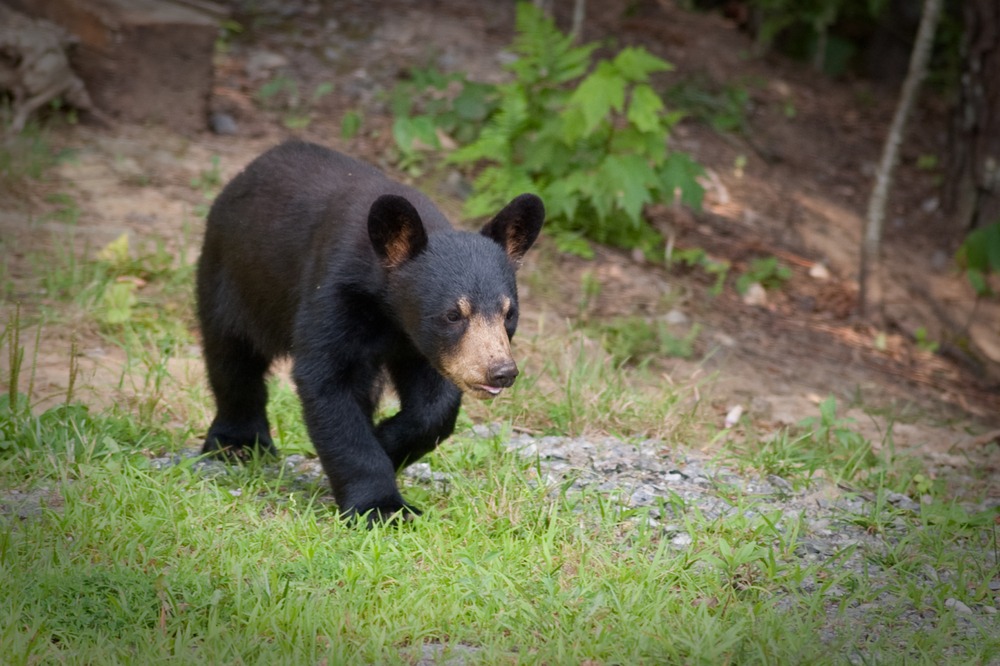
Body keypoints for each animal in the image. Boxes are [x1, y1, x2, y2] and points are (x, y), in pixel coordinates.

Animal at [195, 140, 544, 523]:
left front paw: (387, 441)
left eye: (509, 314)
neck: (388, 314)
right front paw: (382, 506)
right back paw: (238, 443)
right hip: (233, 277)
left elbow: (435, 404)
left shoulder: (418, 345)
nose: (501, 372)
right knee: (231, 355)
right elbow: (329, 383)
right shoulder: (334, 294)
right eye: (453, 314)